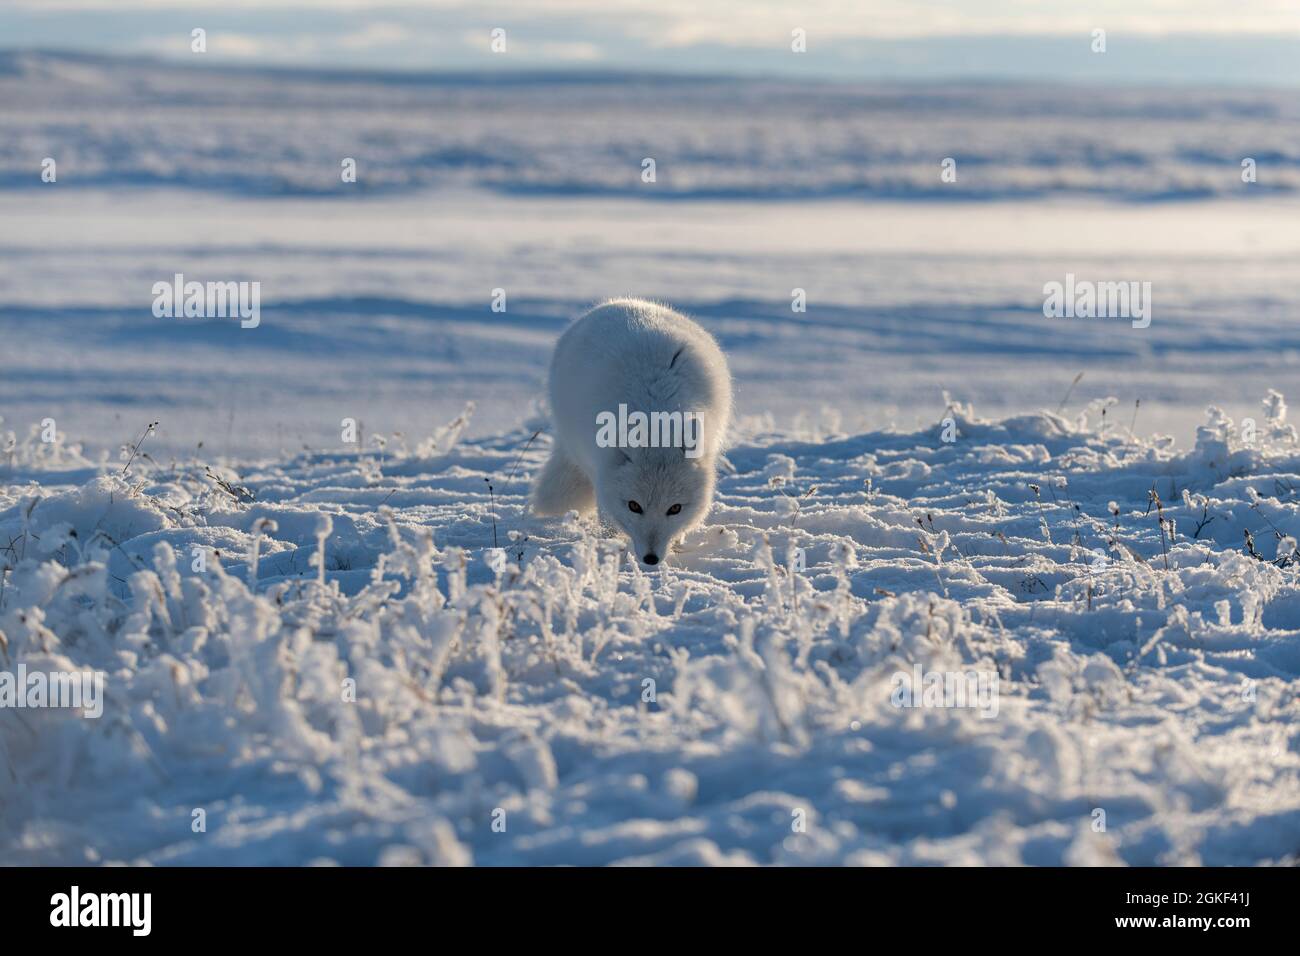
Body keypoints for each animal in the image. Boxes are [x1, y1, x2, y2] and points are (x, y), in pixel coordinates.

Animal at [531, 298, 732, 567]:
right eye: (634, 506)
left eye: (675, 508)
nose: (651, 559)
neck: (656, 421)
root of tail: (619, 302)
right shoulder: (601, 469)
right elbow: (607, 514)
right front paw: (609, 544)